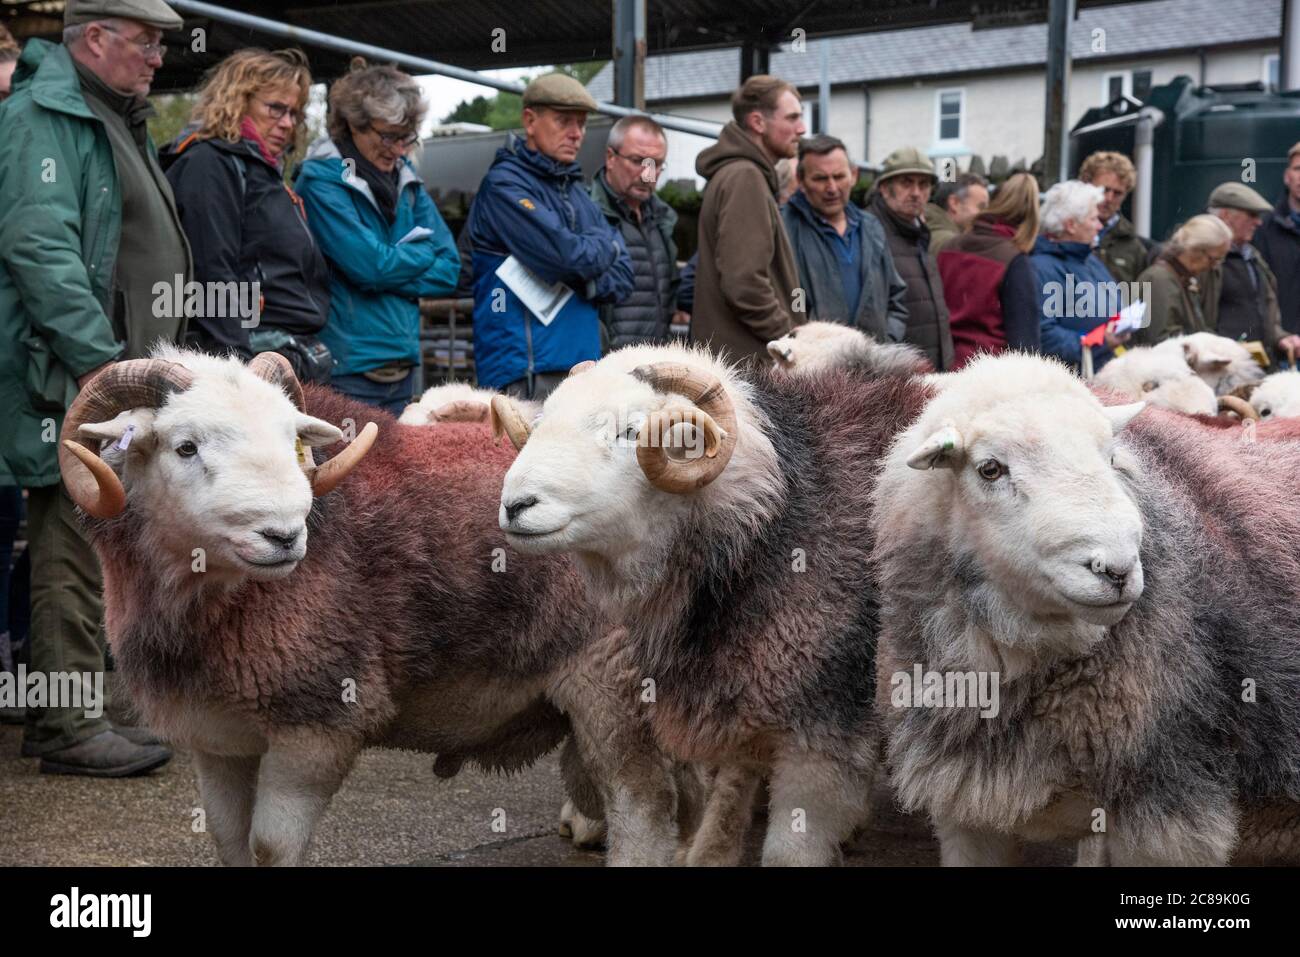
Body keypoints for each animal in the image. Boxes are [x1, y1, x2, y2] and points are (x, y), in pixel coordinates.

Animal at [57, 347, 682, 866]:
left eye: (292, 442)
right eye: (185, 446)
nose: (285, 536)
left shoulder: (319, 725)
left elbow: (270, 846)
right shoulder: (216, 737)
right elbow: (229, 839)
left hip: (612, 677)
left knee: (643, 806)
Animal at [491, 341, 932, 866]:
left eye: (631, 431)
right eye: (543, 421)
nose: (515, 505)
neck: (774, 522)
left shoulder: (824, 721)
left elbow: (789, 847)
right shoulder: (739, 687)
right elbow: (730, 786)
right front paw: (708, 851)